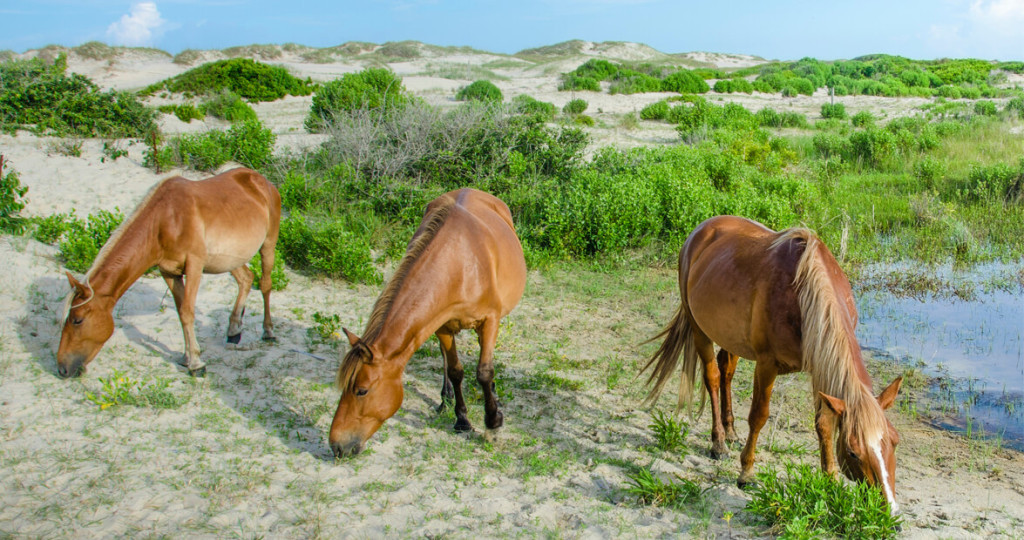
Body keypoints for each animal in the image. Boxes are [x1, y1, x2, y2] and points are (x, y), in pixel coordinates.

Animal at [58, 167, 281, 378]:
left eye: (77, 320)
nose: (62, 368)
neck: (164, 220)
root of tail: (262, 181)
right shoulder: (169, 272)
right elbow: (181, 312)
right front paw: (187, 357)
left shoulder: (194, 266)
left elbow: (187, 312)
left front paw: (196, 364)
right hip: (228, 259)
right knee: (246, 279)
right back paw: (234, 331)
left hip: (267, 246)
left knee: (265, 284)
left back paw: (268, 331)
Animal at [329, 188, 527, 458]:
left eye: (361, 390)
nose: (336, 445)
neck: (460, 264)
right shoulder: (442, 325)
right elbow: (455, 371)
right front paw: (462, 419)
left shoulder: (489, 321)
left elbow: (484, 372)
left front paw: (493, 424)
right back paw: (446, 397)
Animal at [642, 215, 903, 513]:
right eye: (853, 451)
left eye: (894, 440)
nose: (890, 510)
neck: (803, 296)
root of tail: (701, 229)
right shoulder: (767, 364)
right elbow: (759, 416)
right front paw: (746, 472)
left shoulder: (820, 368)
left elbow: (824, 424)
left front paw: (830, 478)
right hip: (699, 329)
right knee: (713, 378)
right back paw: (718, 442)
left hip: (731, 338)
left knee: (726, 371)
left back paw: (731, 432)